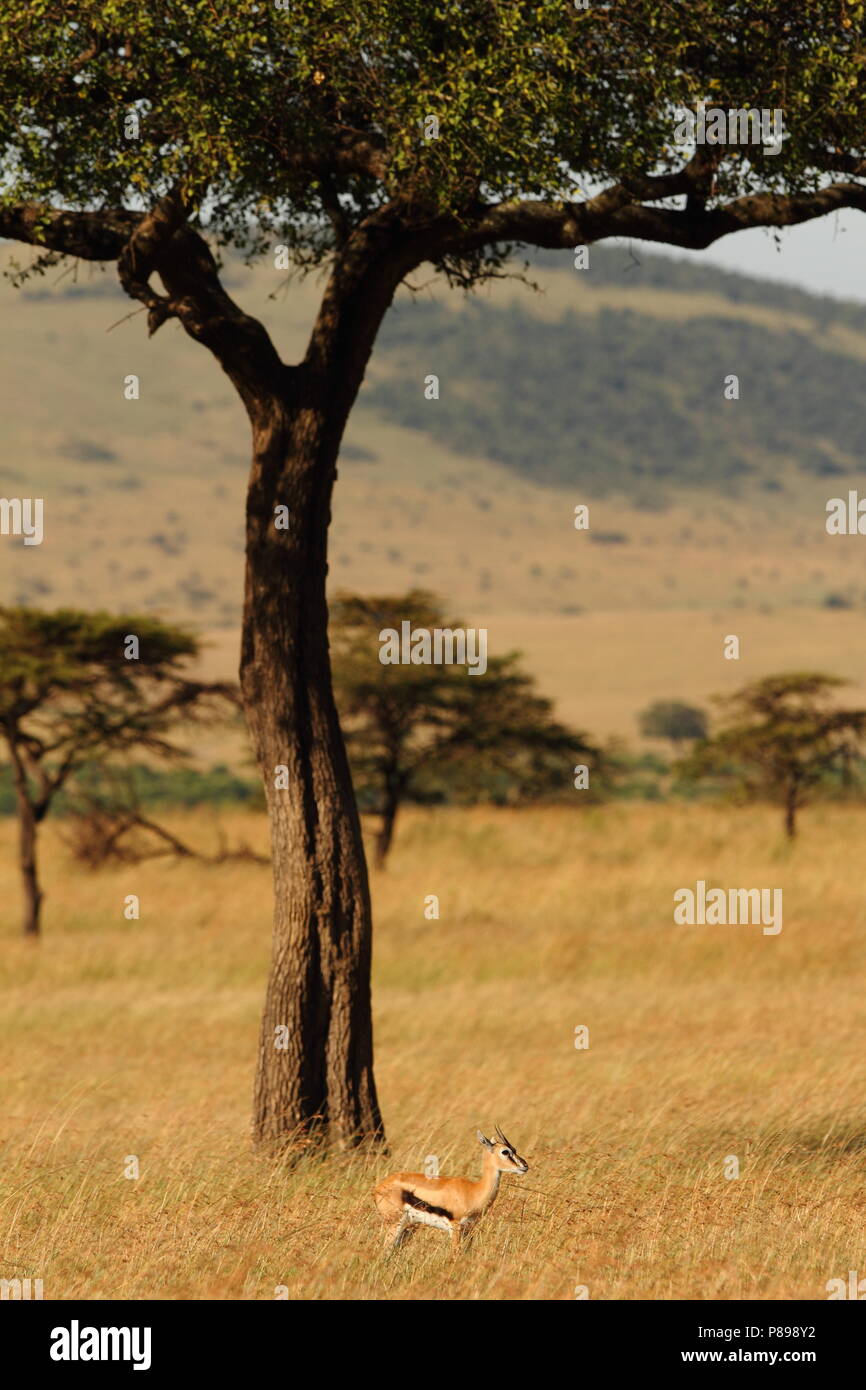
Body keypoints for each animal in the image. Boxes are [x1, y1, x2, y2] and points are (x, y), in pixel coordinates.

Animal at [372, 1126, 529, 1255]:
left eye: (514, 1149)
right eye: (505, 1152)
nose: (525, 1166)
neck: (473, 1191)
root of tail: (378, 1187)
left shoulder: (469, 1228)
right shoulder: (456, 1227)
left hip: (409, 1226)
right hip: (395, 1224)